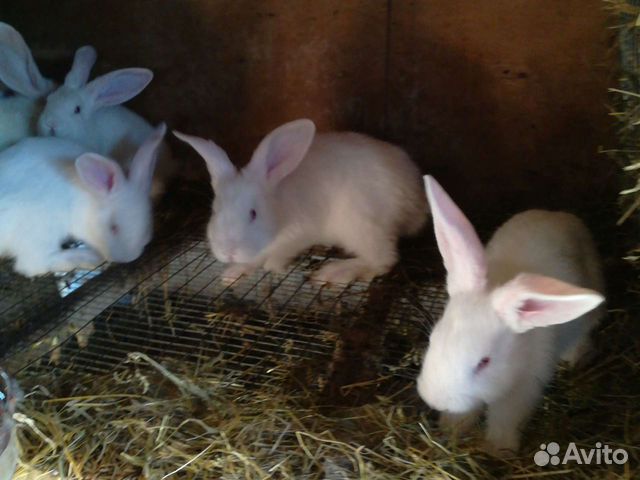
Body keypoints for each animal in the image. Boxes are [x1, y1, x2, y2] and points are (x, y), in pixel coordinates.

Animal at [0, 123, 166, 278]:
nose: (129, 258)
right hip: (42, 228)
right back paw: (89, 258)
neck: (92, 197)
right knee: (33, 264)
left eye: (147, 229)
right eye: (113, 228)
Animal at [174, 119, 428, 285]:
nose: (228, 252)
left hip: (361, 225)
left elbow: (277, 253)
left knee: (383, 259)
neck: (280, 205)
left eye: (253, 213)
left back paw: (336, 273)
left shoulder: (300, 233)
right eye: (214, 210)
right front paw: (233, 272)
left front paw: (273, 265)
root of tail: (415, 198)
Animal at [416, 175, 606, 456]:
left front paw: (499, 449)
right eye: (432, 340)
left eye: (484, 362)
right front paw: (451, 430)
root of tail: (556, 214)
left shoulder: (523, 388)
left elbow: (506, 417)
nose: (436, 399)